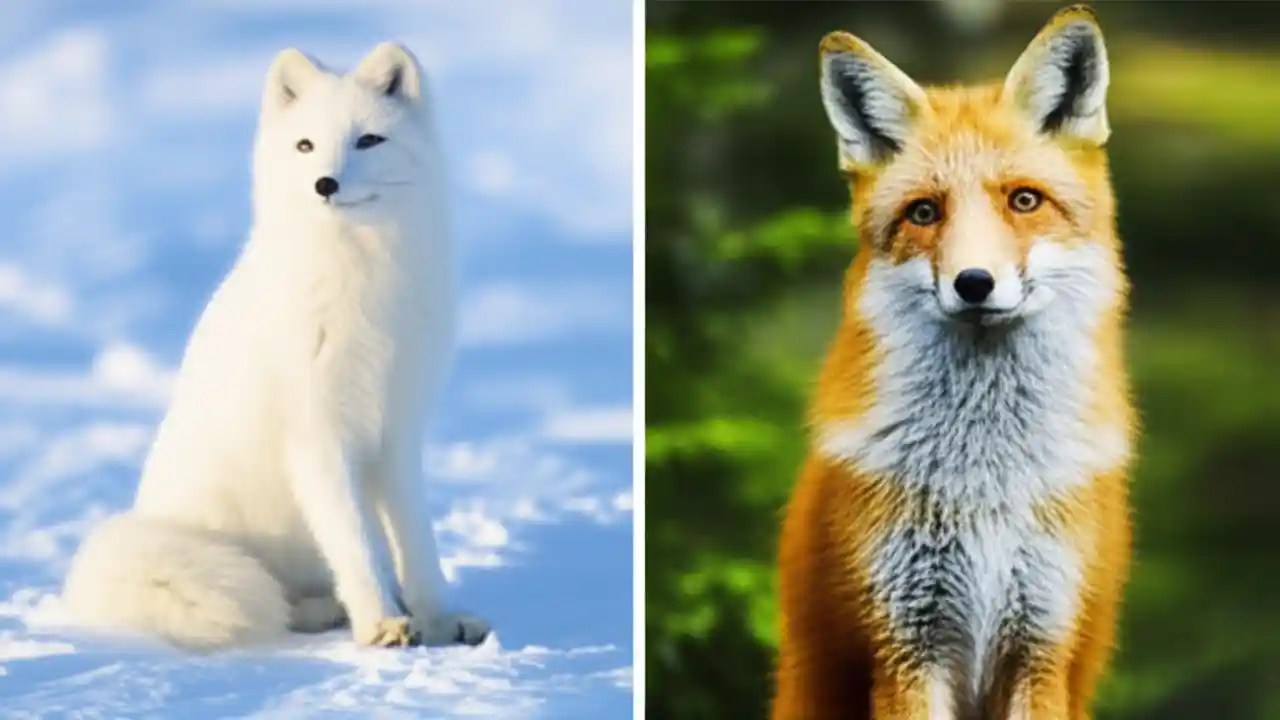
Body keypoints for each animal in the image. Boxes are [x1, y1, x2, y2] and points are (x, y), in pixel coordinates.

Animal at [61, 42, 490, 651]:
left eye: (368, 140)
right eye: (304, 145)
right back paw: (323, 611)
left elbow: (418, 544)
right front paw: (380, 623)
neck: (361, 282)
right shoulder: (316, 436)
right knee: (280, 604)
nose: (325, 184)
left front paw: (438, 619)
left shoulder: (399, 433)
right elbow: (354, 545)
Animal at [773, 6, 1133, 719]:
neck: (984, 480)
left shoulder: (1041, 648)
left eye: (1024, 201)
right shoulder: (906, 649)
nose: (974, 283)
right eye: (924, 212)